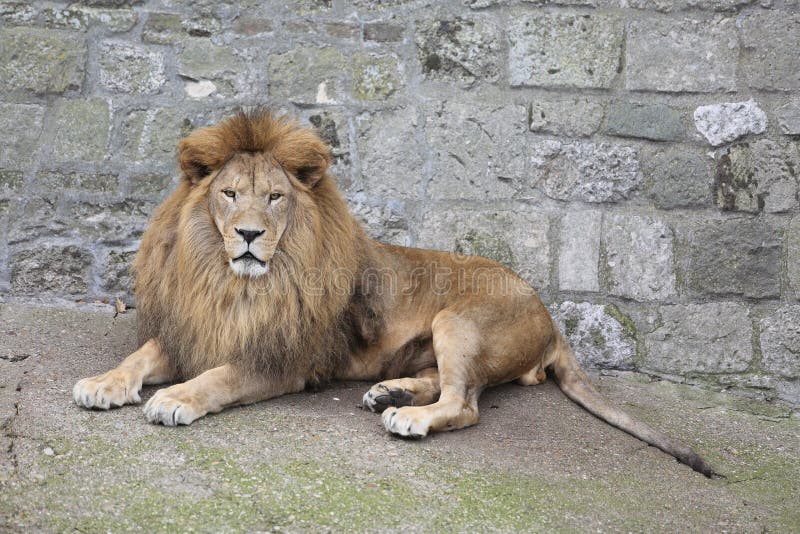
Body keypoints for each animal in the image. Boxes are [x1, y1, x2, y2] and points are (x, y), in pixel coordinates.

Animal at [73, 109, 716, 477]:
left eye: (275, 198)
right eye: (230, 194)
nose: (250, 235)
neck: (237, 285)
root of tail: (552, 318)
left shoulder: (285, 360)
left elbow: (217, 378)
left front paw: (175, 398)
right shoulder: (194, 325)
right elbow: (140, 355)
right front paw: (103, 383)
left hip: (461, 319)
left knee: (465, 404)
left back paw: (407, 416)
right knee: (453, 384)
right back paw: (390, 392)